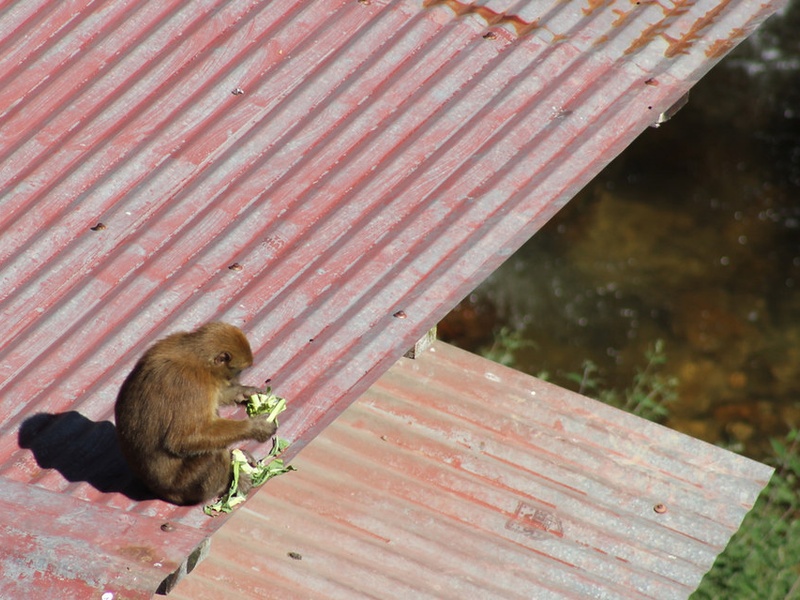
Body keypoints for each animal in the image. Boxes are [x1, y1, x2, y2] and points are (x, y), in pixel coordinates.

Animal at [114, 322, 277, 505]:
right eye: (238, 371)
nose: (236, 380)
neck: (198, 360)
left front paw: (244, 392)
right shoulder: (192, 385)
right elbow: (182, 440)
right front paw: (256, 427)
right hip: (185, 487)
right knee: (213, 453)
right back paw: (228, 480)